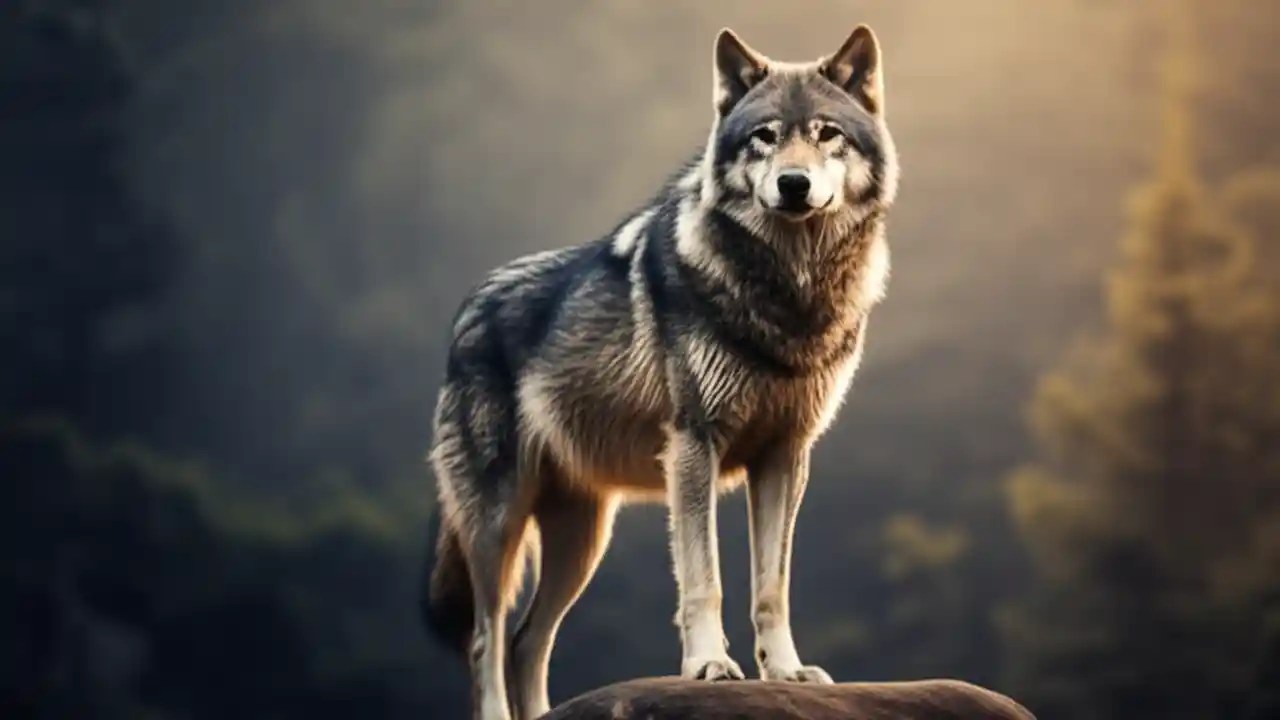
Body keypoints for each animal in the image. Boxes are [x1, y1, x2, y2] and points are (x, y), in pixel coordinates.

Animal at [423, 24, 899, 720]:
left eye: (826, 133)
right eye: (764, 136)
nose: (793, 184)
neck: (788, 291)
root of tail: (466, 312)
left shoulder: (786, 456)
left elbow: (771, 587)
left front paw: (785, 670)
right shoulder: (694, 448)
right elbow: (705, 579)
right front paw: (708, 665)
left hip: (582, 540)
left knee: (527, 640)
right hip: (497, 525)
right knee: (487, 641)